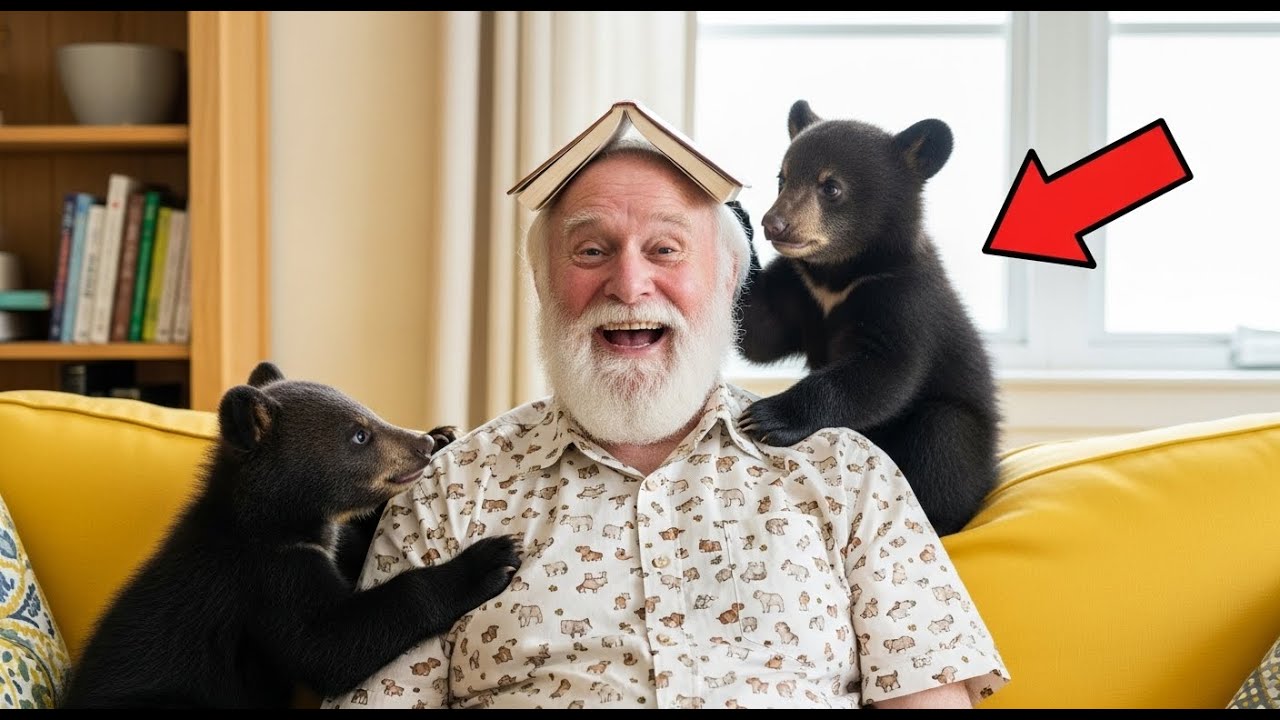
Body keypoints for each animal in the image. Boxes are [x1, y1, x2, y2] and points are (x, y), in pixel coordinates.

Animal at [60, 361, 522, 708]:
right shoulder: (267, 578)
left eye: (370, 414)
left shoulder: (322, 546)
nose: (422, 444)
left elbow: (355, 546)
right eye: (359, 434)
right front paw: (488, 561)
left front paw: (446, 434)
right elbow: (328, 644)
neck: (271, 524)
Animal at [733, 99, 1000, 537]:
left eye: (831, 186)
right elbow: (759, 329)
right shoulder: (800, 285)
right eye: (782, 178)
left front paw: (767, 416)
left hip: (963, 436)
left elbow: (883, 371)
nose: (774, 224)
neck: (840, 274)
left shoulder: (904, 297)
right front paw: (734, 218)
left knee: (943, 442)